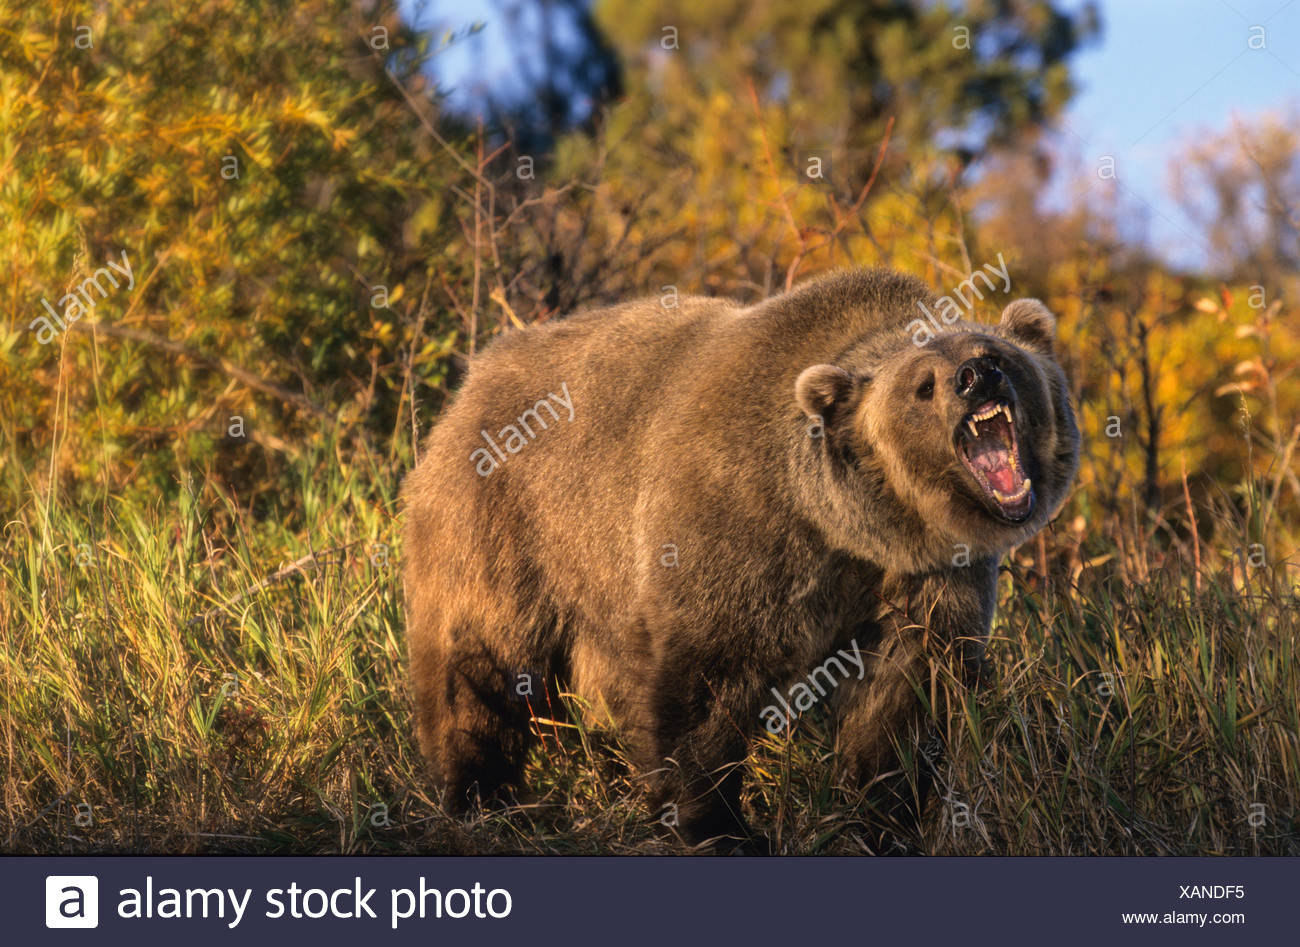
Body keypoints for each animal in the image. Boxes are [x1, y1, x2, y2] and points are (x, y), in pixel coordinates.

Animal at [400, 266, 1079, 849]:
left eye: (998, 355)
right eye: (923, 385)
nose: (976, 376)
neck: (854, 526)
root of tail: (474, 376)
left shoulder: (928, 574)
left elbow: (904, 690)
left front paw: (882, 812)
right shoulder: (738, 524)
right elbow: (706, 679)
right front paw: (717, 825)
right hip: (514, 517)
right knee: (485, 656)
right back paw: (481, 793)